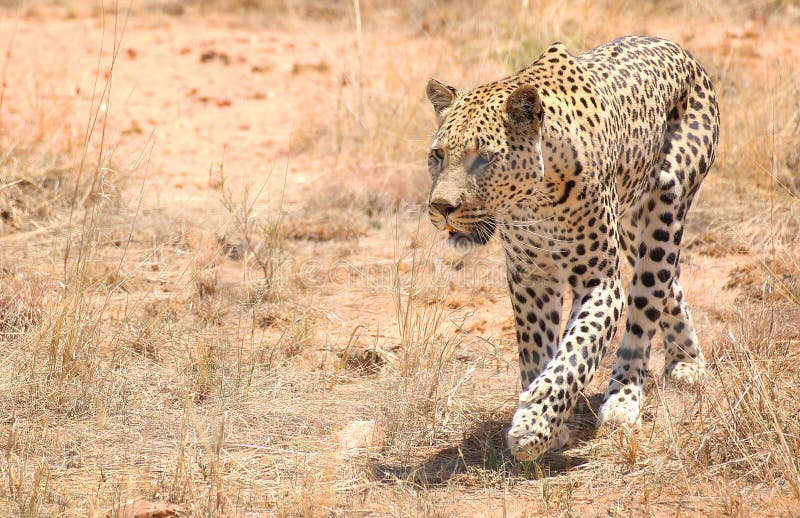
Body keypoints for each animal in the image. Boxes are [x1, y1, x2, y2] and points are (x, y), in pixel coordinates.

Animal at [424, 35, 719, 461]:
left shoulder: (600, 282)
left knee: (647, 301)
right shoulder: (529, 278)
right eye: (438, 155)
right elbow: (536, 349)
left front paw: (535, 425)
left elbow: (577, 348)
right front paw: (549, 422)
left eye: (484, 158)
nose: (440, 207)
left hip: (667, 205)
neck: (533, 200)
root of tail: (676, 48)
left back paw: (625, 398)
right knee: (670, 284)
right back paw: (686, 362)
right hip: (630, 226)